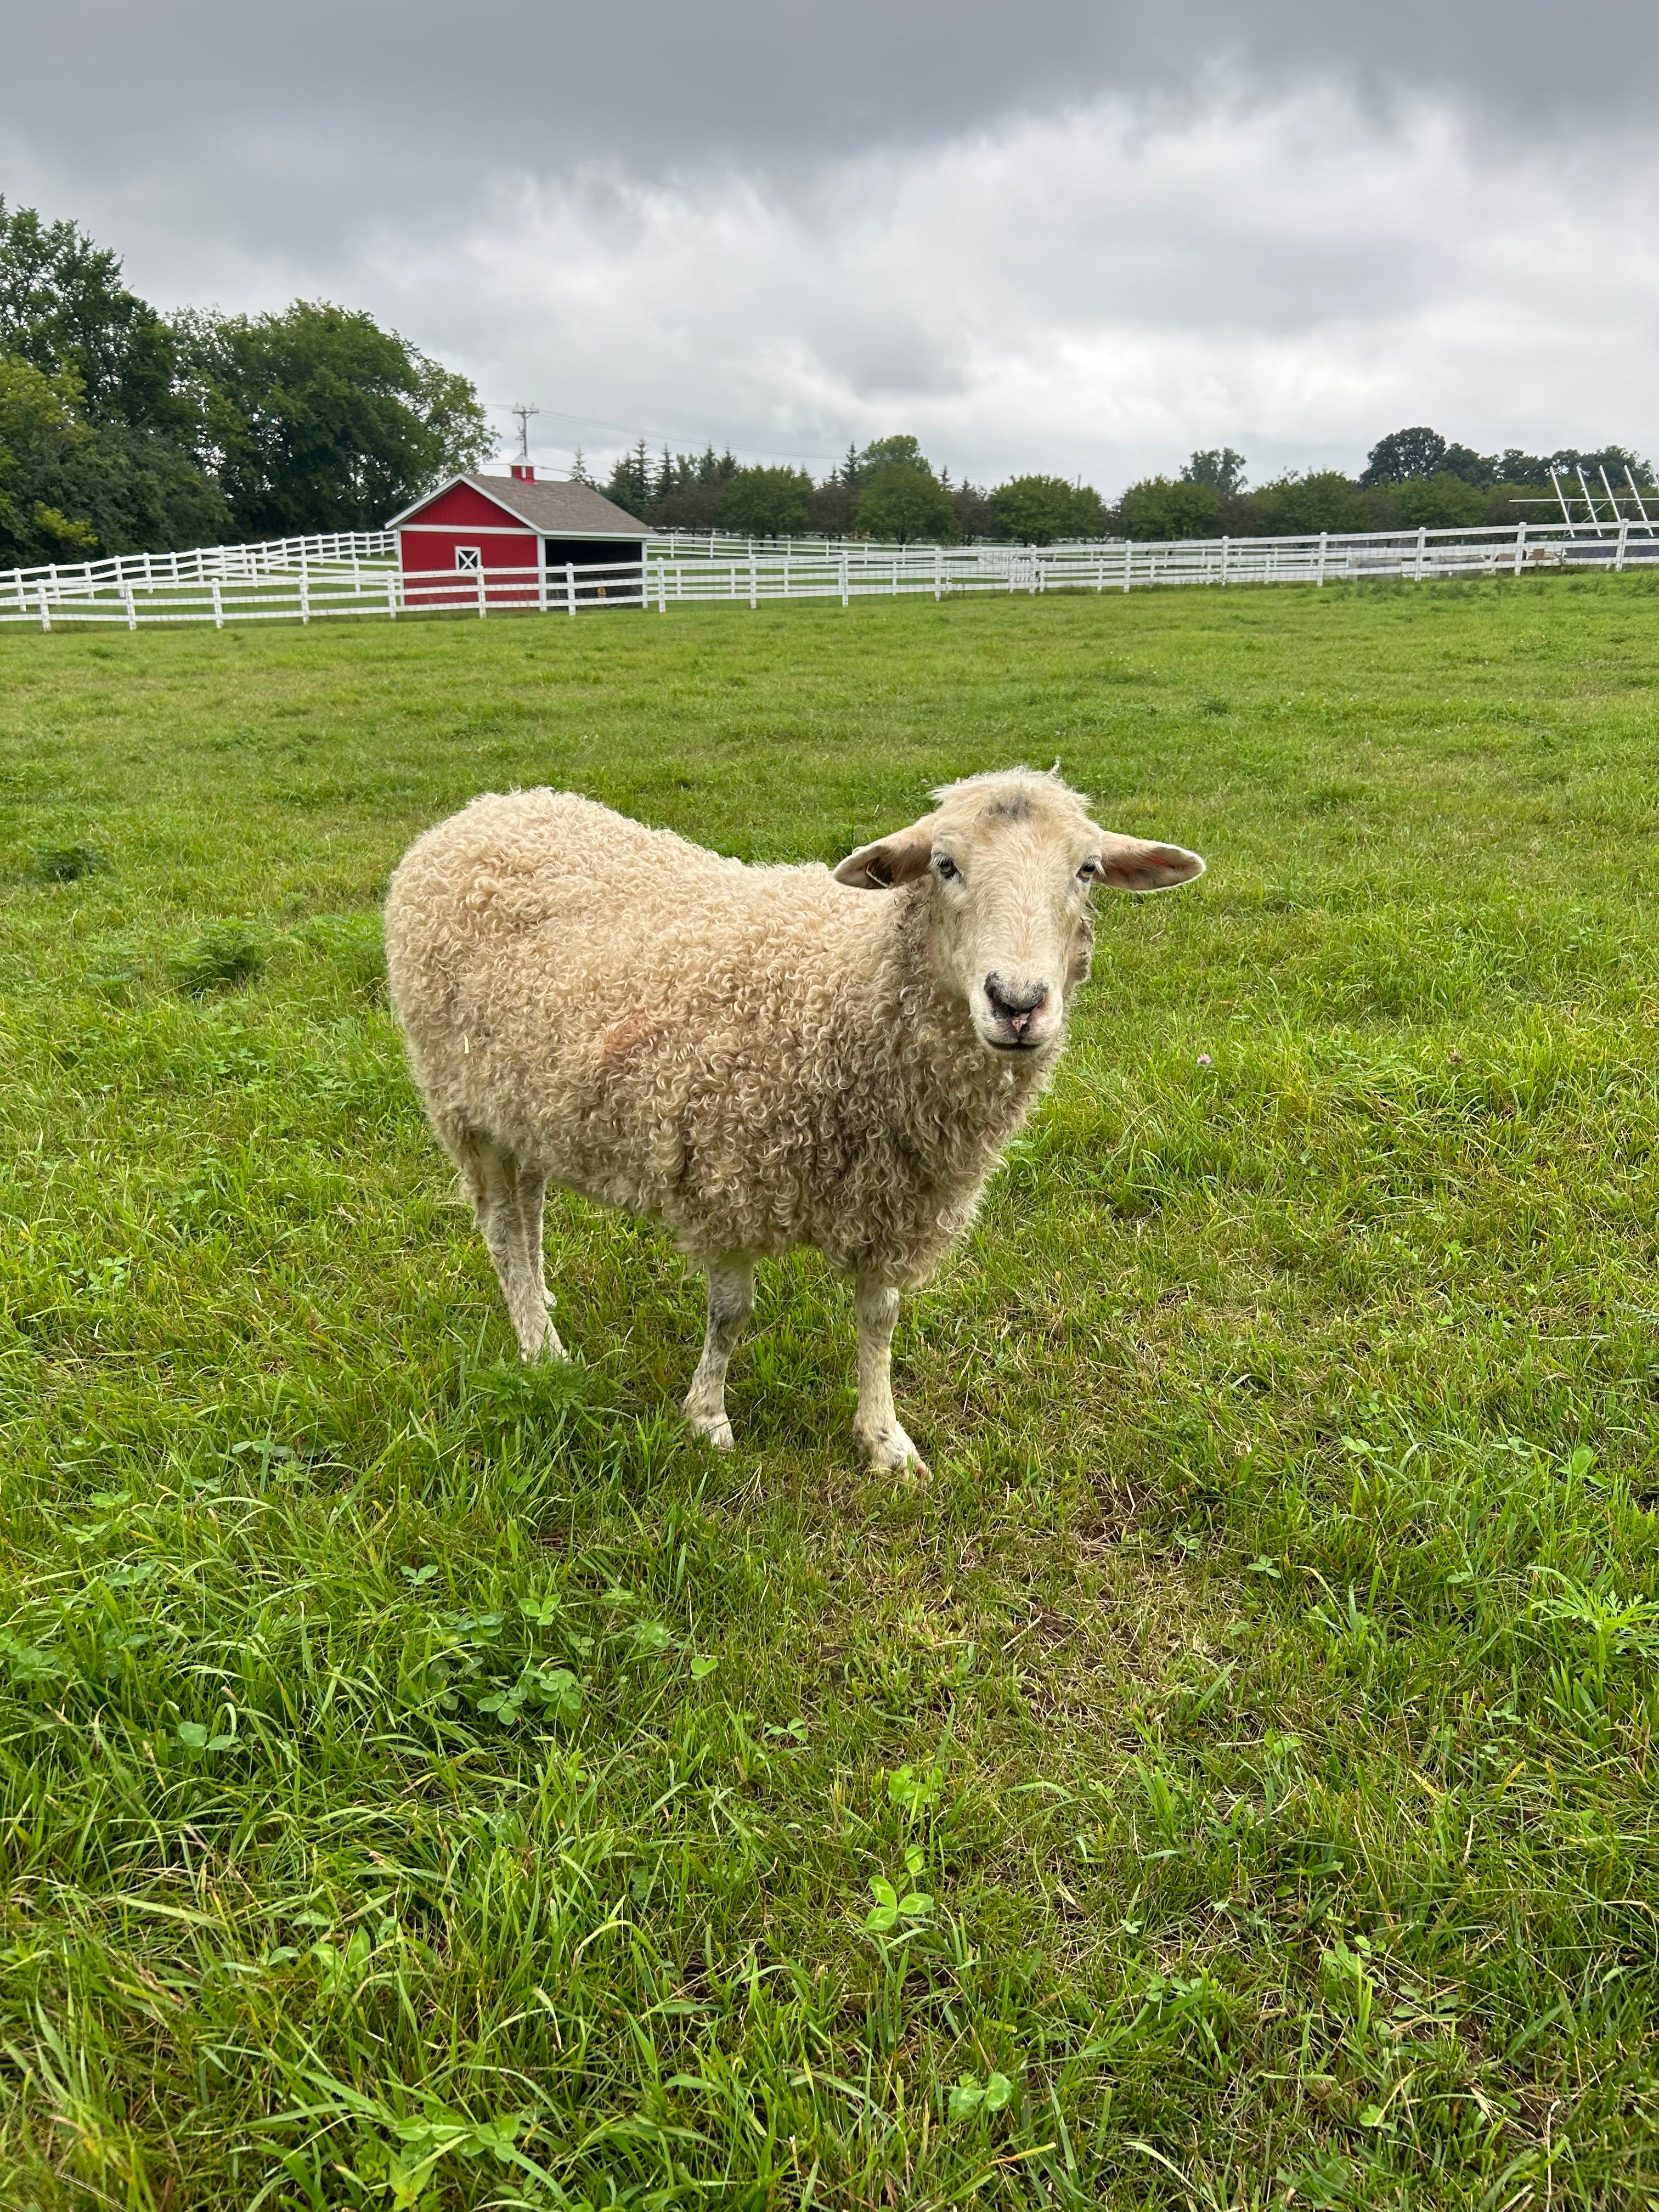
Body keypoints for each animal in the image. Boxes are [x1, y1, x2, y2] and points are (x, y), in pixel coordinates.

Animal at [383, 768, 1204, 1471]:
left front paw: (884, 1439)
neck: (849, 989)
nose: (1018, 1003)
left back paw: (540, 1294)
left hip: (523, 1102)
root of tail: (483, 811)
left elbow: (880, 1320)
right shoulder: (726, 1181)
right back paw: (540, 1345)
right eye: (945, 865)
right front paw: (708, 1419)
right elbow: (730, 1315)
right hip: (460, 1097)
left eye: (1086, 870)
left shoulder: (893, 1199)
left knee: (528, 1208)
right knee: (500, 1225)